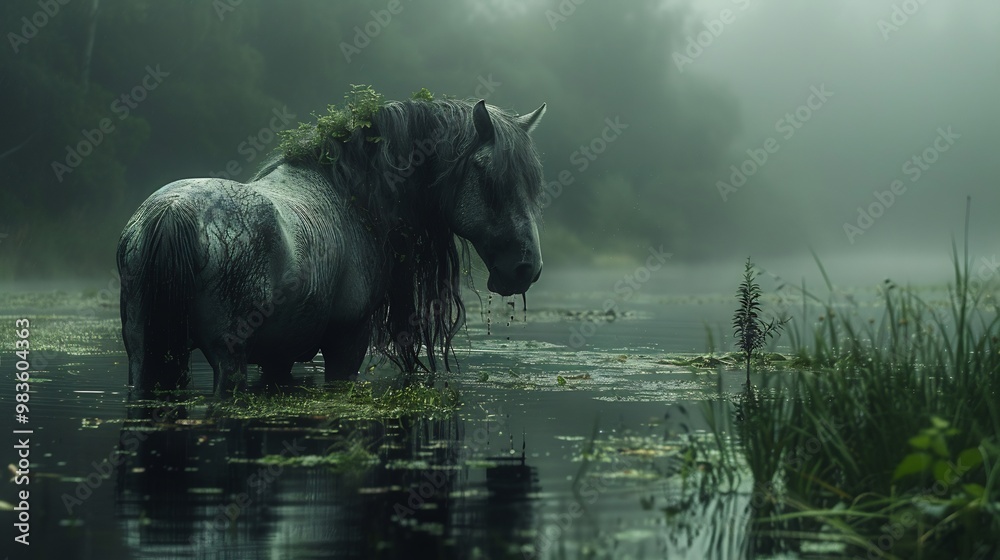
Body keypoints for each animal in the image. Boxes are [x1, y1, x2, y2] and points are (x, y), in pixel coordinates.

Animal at [116, 96, 546, 396]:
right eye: (487, 175)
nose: (527, 268)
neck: (352, 198)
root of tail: (173, 211)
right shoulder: (347, 343)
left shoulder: (278, 357)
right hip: (228, 360)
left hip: (142, 352)